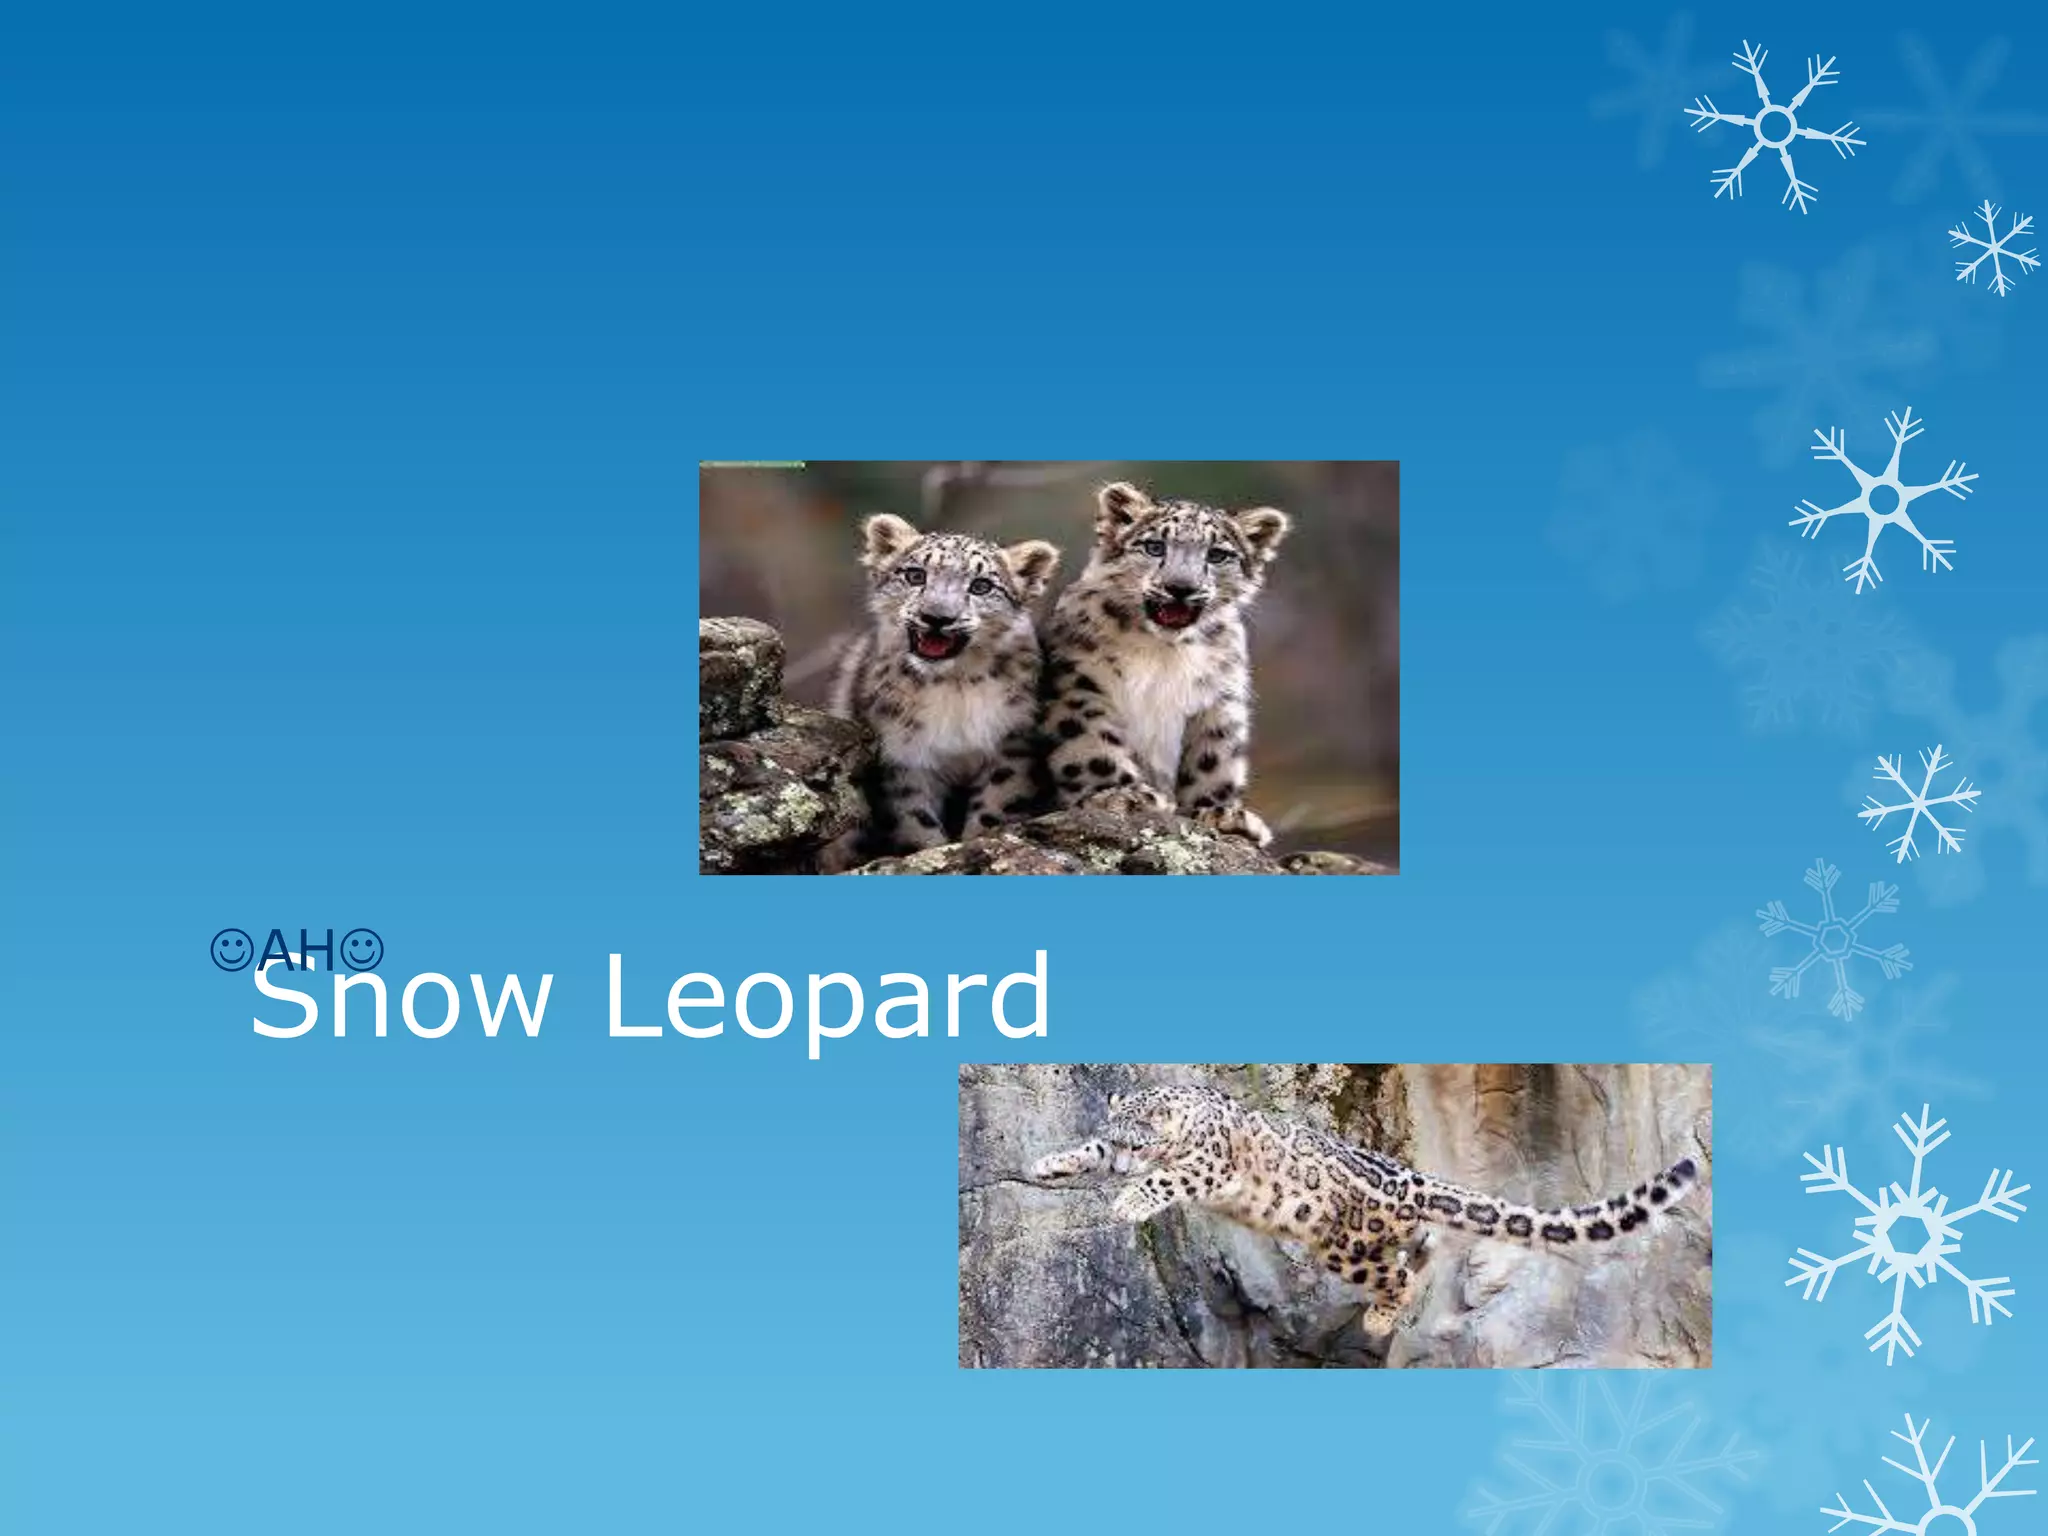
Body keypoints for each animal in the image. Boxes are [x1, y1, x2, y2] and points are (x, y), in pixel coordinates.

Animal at [826, 514, 1060, 863]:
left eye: (981, 585)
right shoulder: (902, 756)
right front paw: (931, 851)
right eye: (915, 575)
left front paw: (980, 841)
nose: (937, 617)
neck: (953, 687)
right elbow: (914, 820)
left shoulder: (1012, 743)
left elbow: (995, 803)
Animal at [1028, 1084, 1702, 1331]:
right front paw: (1049, 1164)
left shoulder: (1210, 1164)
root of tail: (1410, 1177)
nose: (1121, 1166)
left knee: (1398, 1273)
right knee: (1420, 1249)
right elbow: (1081, 1151)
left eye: (1138, 1142)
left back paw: (1380, 1320)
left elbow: (1174, 1176)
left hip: (1342, 1246)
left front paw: (1129, 1200)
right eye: (1113, 1138)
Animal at [1039, 481, 1290, 846]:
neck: (1164, 652)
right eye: (1154, 546)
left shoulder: (1219, 696)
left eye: (1217, 554)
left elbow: (1213, 757)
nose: (1180, 588)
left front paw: (1220, 813)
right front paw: (1122, 795)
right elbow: (1092, 743)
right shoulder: (1079, 683)